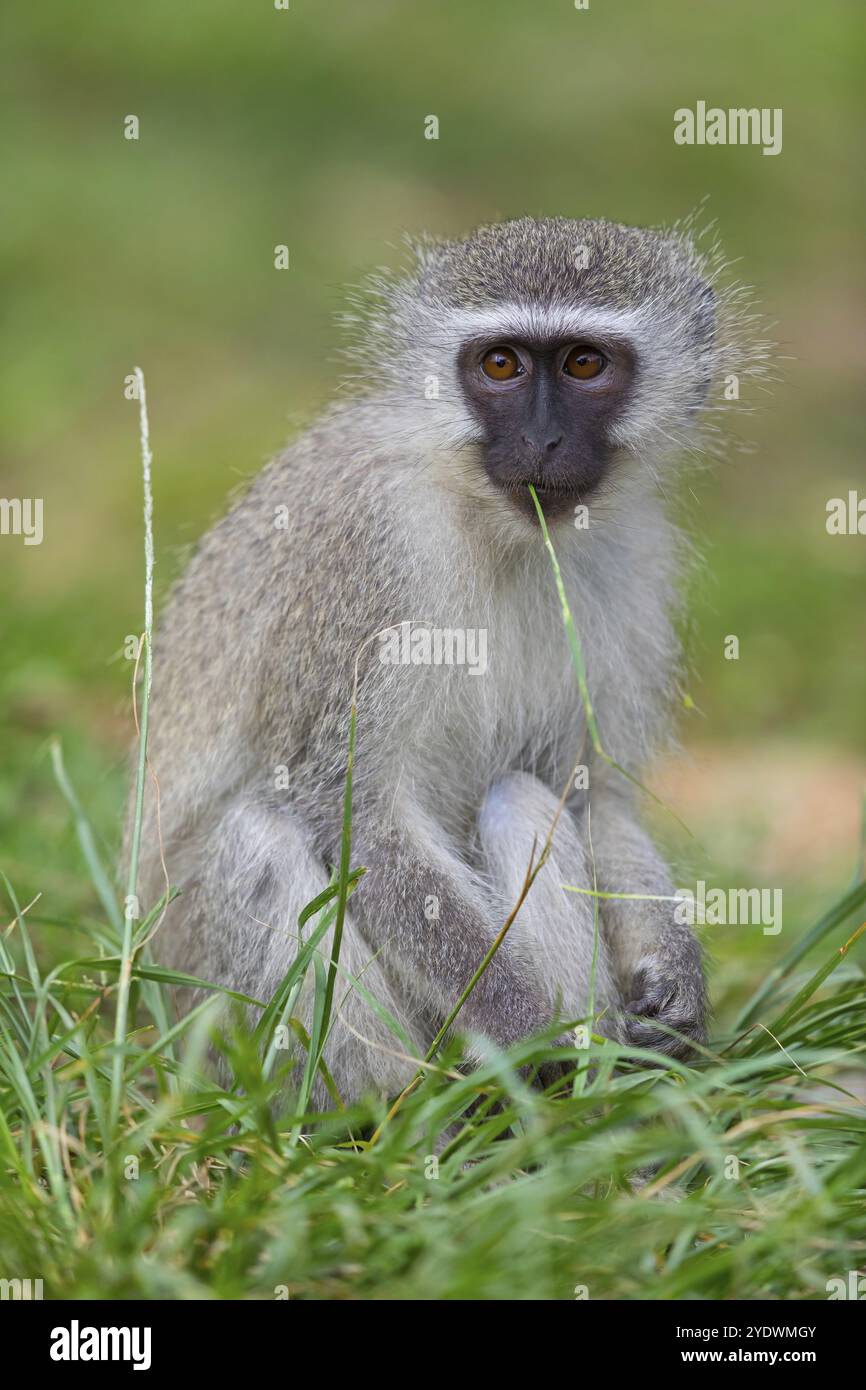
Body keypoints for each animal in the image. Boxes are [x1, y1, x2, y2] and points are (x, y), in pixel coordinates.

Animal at [128, 215, 766, 1107]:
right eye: (500, 365)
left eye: (584, 363)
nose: (542, 439)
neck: (494, 522)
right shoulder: (370, 556)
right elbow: (357, 819)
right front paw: (531, 1026)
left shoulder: (636, 563)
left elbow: (592, 794)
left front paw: (673, 975)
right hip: (200, 1012)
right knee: (258, 838)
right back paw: (400, 1112)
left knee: (522, 796)